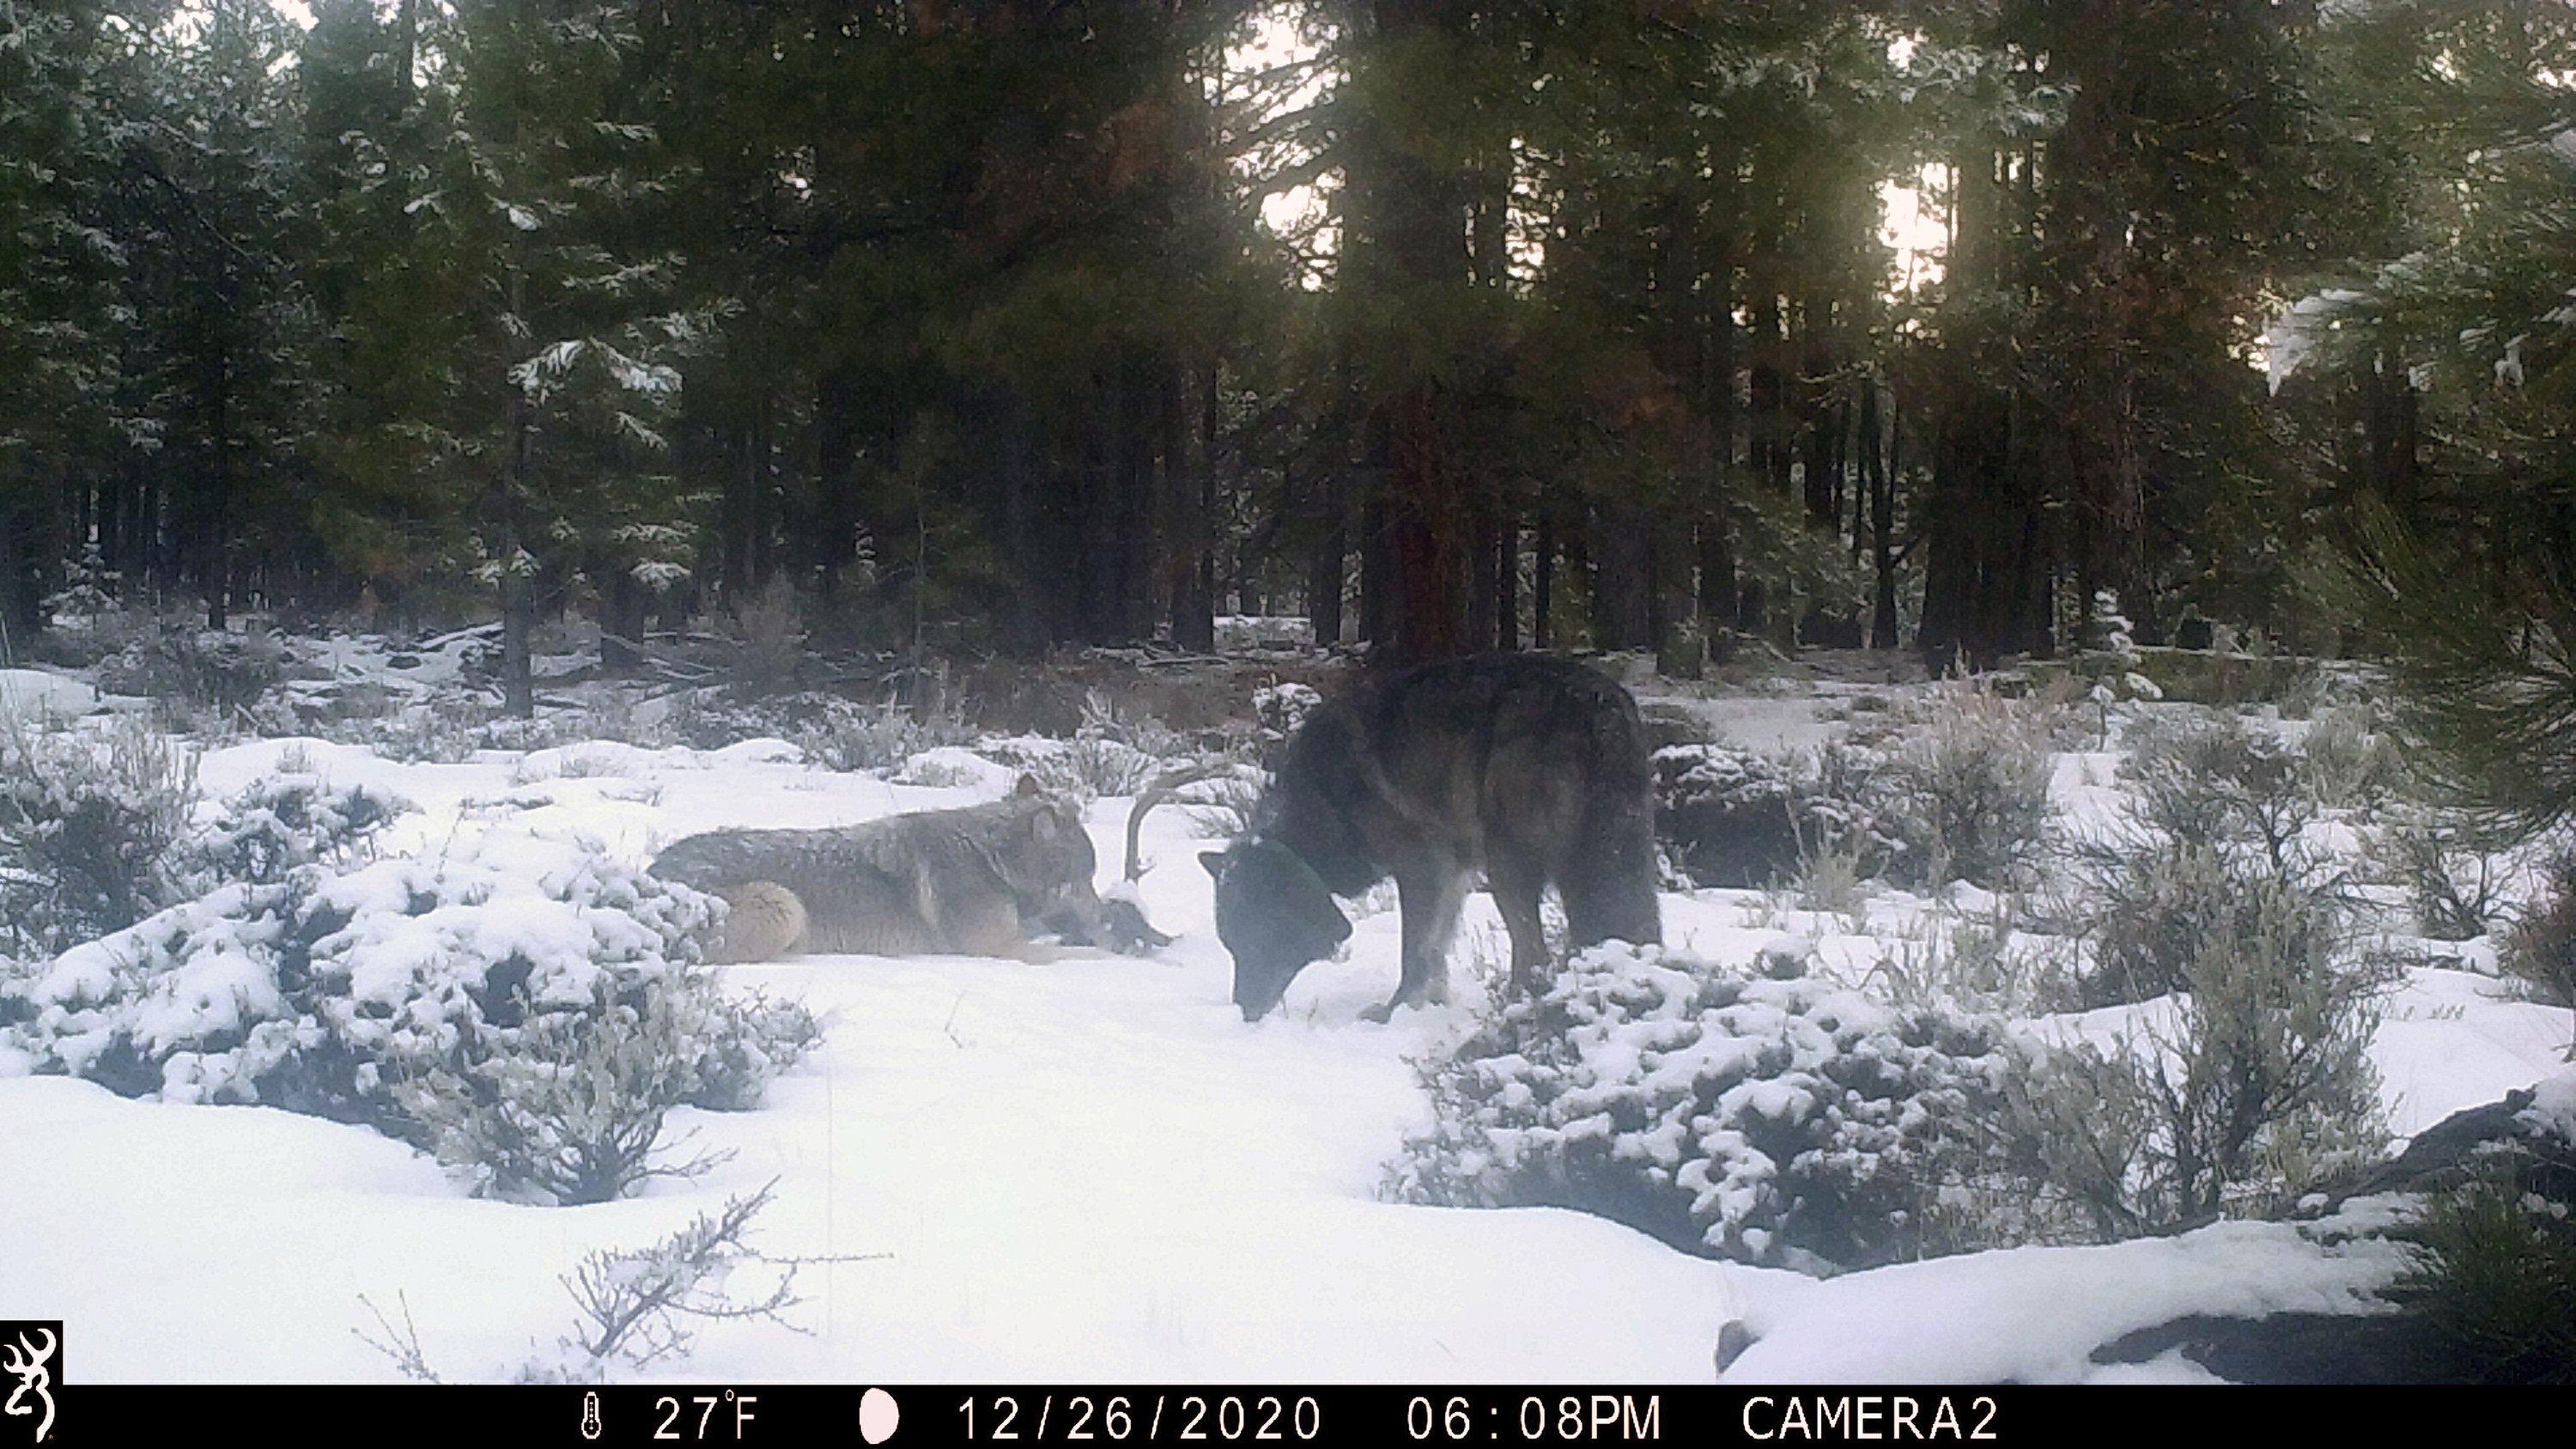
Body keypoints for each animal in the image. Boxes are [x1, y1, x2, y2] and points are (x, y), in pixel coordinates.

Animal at [650, 776, 1111, 962]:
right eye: (1086, 880)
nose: (1105, 917)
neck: (990, 857)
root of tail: (650, 875)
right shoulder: (998, 949)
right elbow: (1072, 955)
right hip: (784, 906)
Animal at [1189, 653, 1661, 1022]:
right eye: (1230, 945)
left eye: (1257, 938)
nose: (1245, 1012)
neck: (1324, 798)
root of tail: (1602, 708)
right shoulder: (1454, 874)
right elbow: (1435, 952)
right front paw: (1429, 1007)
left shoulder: (1421, 867)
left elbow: (1414, 952)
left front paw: (1392, 1013)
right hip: (1619, 861)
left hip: (1508, 870)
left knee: (1534, 957)